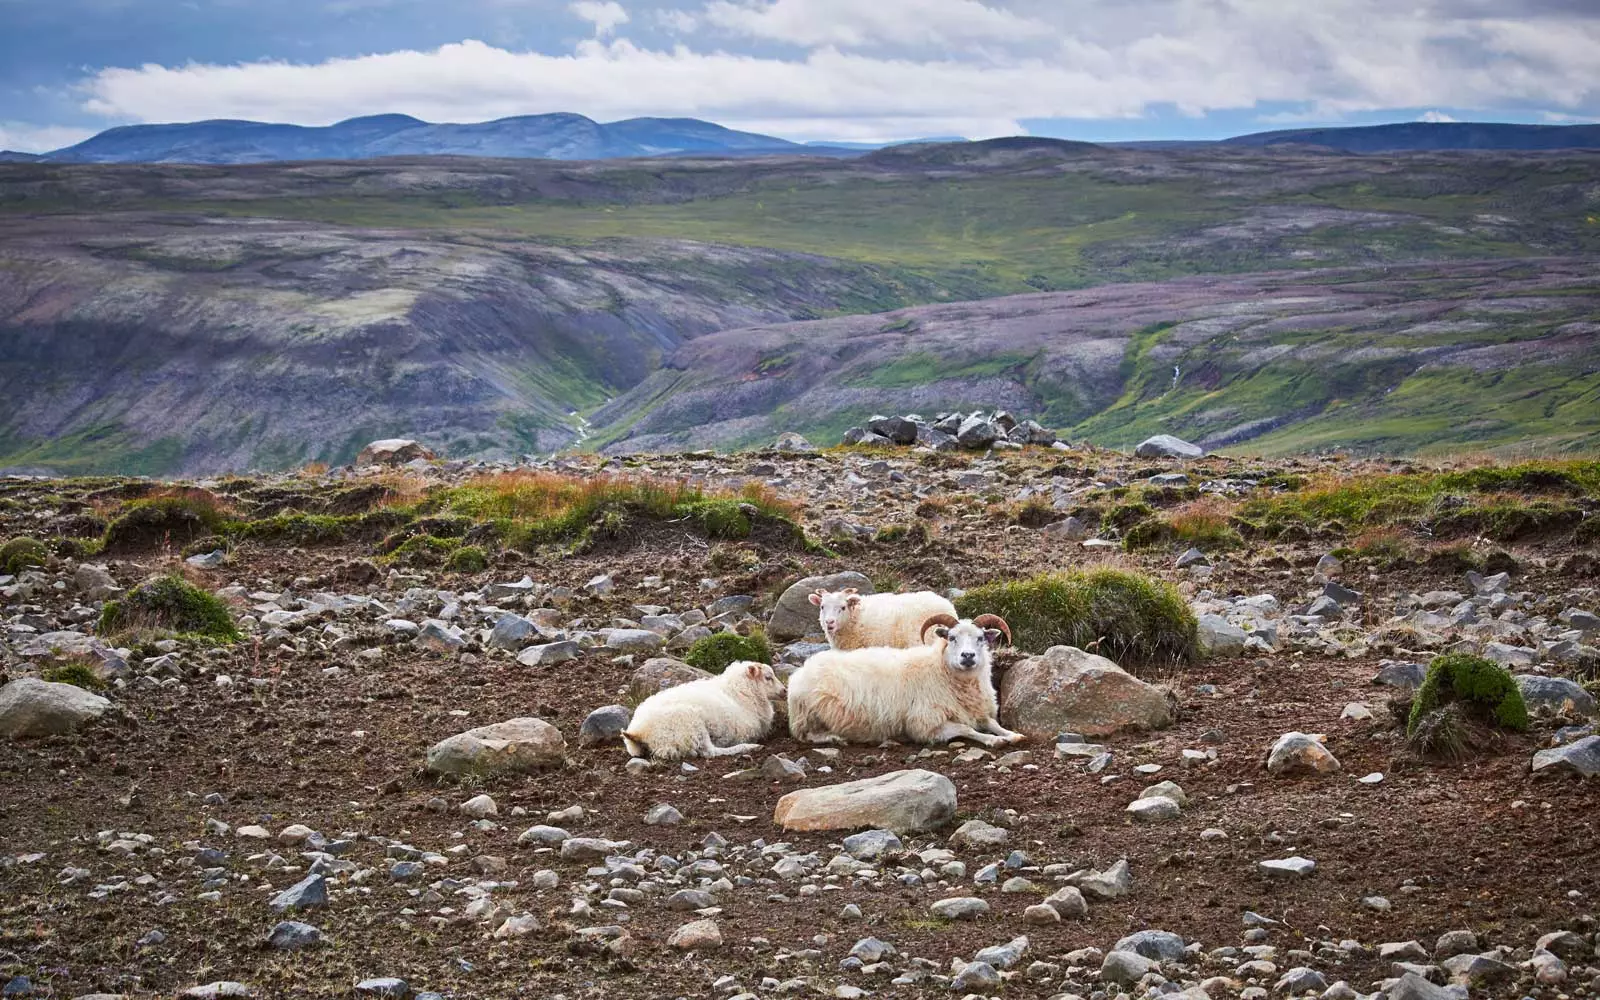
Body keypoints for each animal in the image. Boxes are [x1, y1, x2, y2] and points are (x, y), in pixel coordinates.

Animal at [620, 659, 784, 761]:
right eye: (768, 677)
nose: (784, 690)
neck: (738, 692)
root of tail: (639, 732)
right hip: (692, 726)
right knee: (710, 752)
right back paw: (750, 747)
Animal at [787, 608, 1024, 748]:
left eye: (981, 638)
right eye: (952, 638)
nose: (968, 656)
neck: (940, 670)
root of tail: (802, 669)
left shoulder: (976, 710)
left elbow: (992, 722)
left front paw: (1011, 734)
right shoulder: (923, 725)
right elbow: (967, 729)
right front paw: (994, 740)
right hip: (808, 714)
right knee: (805, 735)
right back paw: (834, 737)